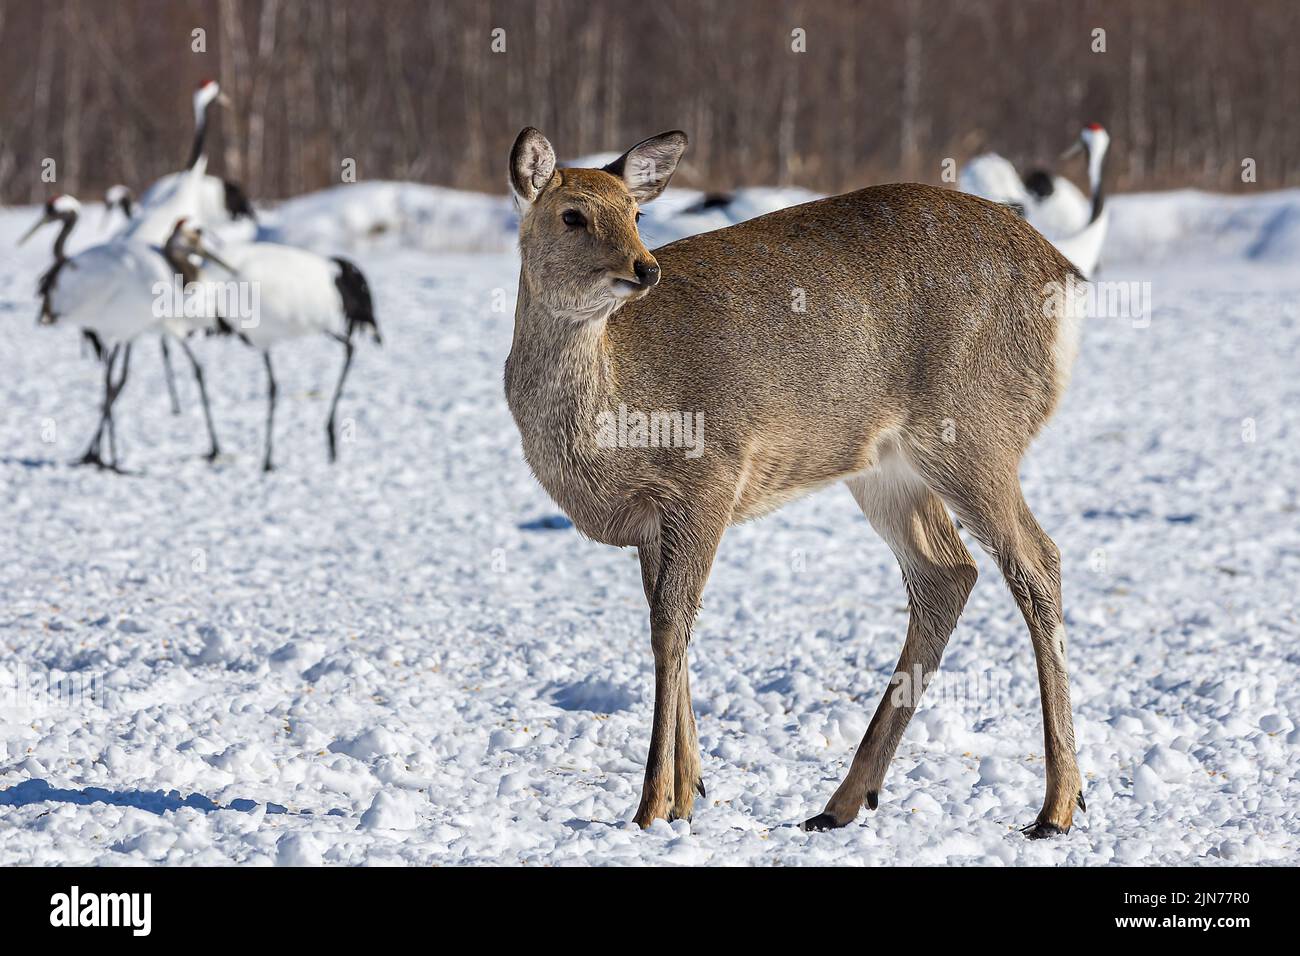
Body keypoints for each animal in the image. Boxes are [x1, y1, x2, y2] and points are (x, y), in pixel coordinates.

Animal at [504, 127, 1088, 839]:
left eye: (635, 213)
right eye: (573, 215)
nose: (644, 269)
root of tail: (1064, 274)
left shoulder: (709, 474)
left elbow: (670, 626)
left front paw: (652, 805)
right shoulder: (652, 522)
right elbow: (671, 625)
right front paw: (690, 791)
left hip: (977, 428)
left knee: (1036, 560)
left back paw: (1057, 806)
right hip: (889, 467)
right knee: (947, 573)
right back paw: (842, 802)